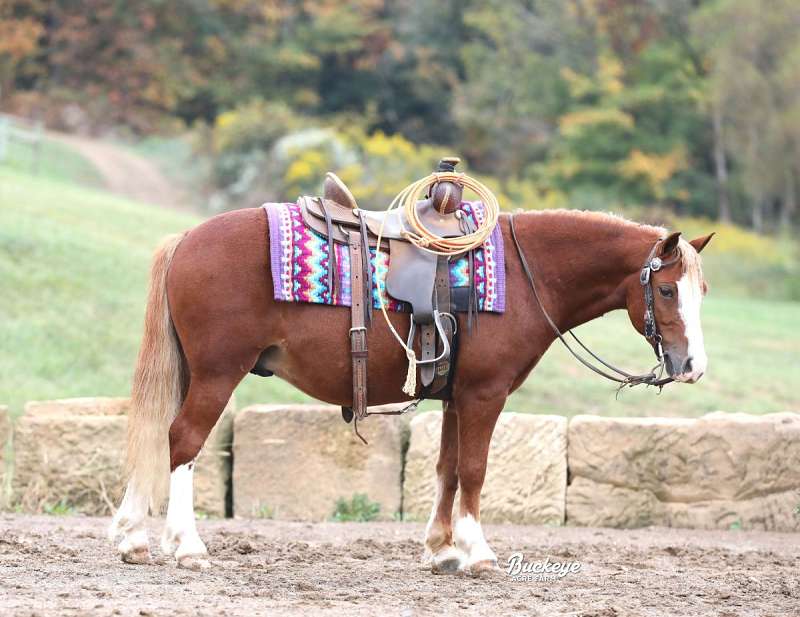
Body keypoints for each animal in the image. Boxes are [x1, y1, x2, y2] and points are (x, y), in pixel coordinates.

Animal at [108, 205, 713, 574]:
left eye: (701, 290)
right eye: (665, 290)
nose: (691, 366)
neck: (525, 276)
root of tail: (187, 239)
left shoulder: (456, 397)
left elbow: (447, 468)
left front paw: (441, 550)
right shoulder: (485, 395)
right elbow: (474, 469)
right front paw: (477, 551)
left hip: (193, 372)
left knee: (159, 435)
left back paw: (133, 538)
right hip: (218, 373)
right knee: (183, 441)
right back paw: (186, 545)